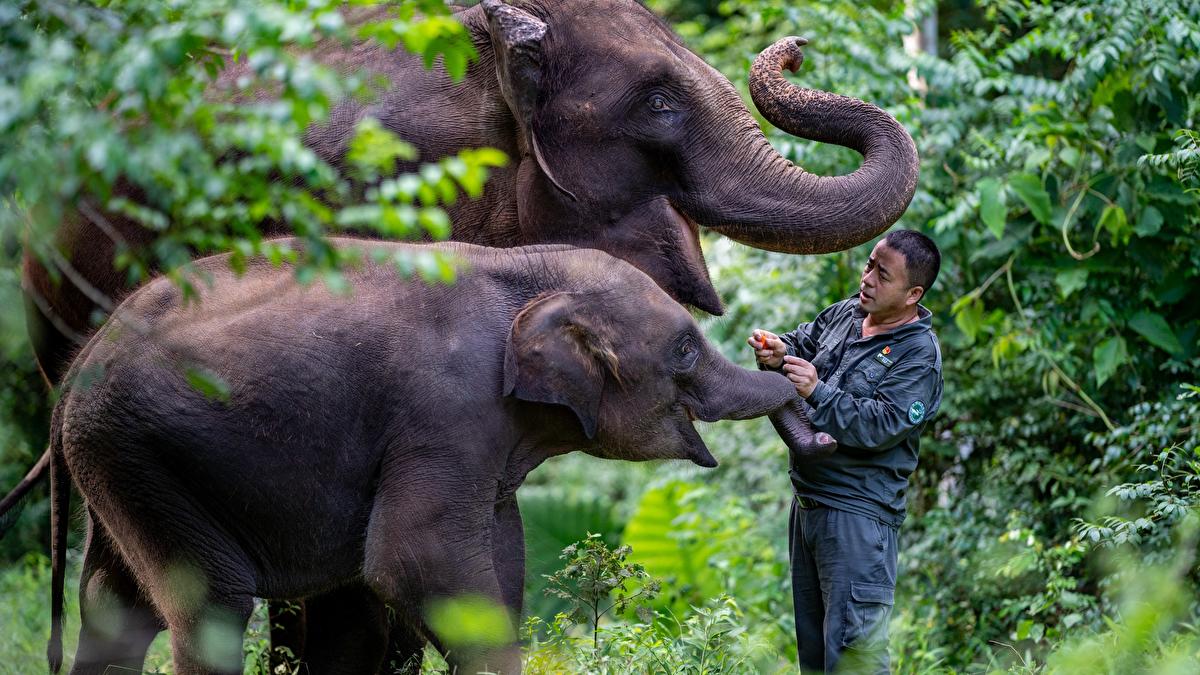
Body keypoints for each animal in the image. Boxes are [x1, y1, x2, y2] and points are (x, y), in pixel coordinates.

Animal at [46, 239, 824, 674]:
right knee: (211, 603)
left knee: (116, 608)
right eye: (686, 349)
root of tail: (75, 369)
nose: (781, 353)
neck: (521, 269)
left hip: (126, 465)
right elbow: (415, 560)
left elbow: (503, 565)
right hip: (136, 449)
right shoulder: (443, 412)